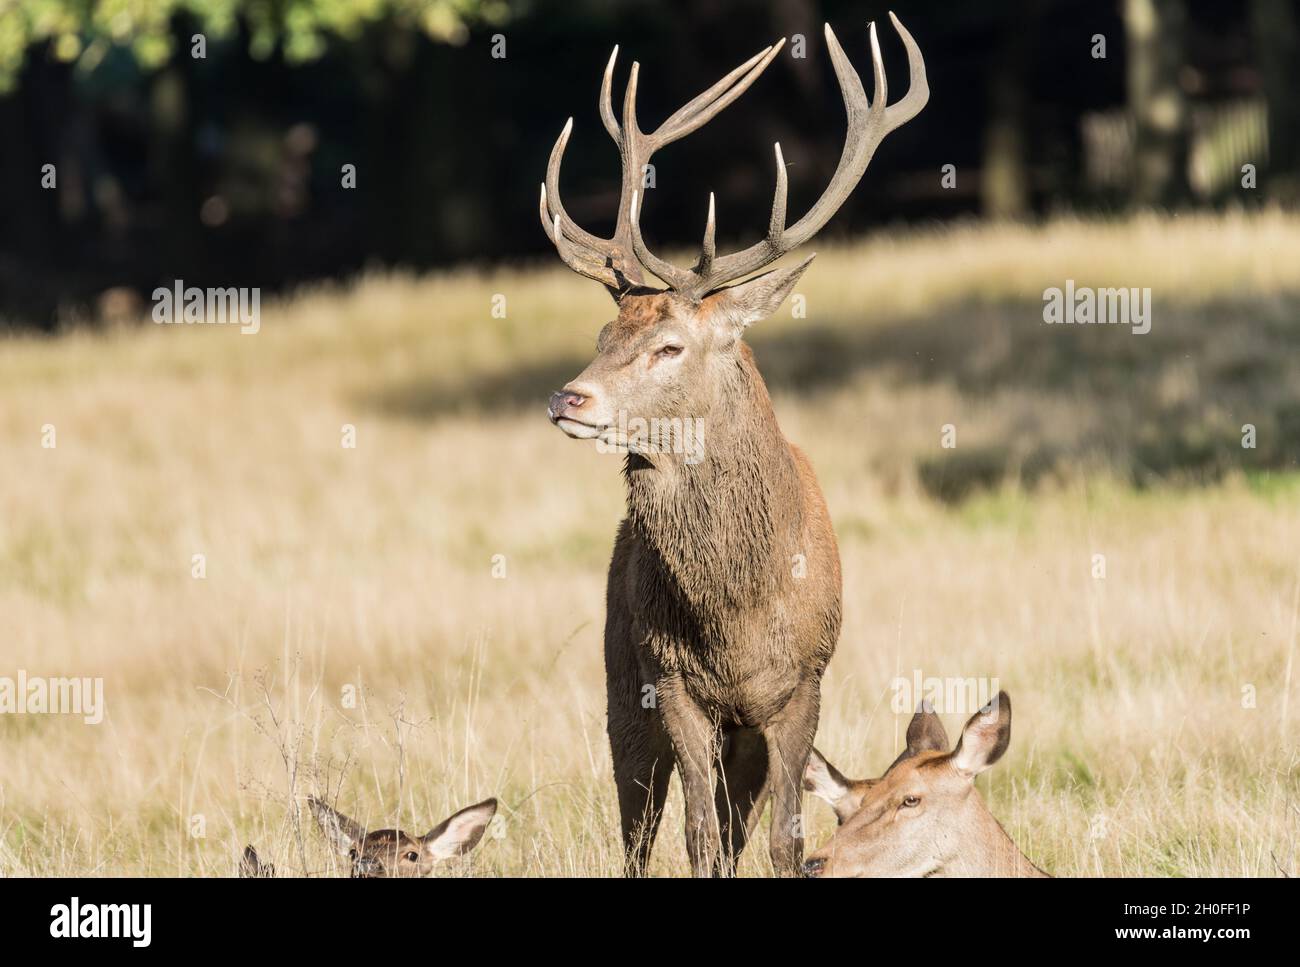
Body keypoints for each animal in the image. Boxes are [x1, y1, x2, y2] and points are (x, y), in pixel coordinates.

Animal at [541, 14, 928, 876]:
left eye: (669, 346)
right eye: (604, 335)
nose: (567, 398)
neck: (735, 619)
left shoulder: (802, 687)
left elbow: (787, 840)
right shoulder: (673, 683)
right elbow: (697, 836)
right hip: (622, 680)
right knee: (638, 828)